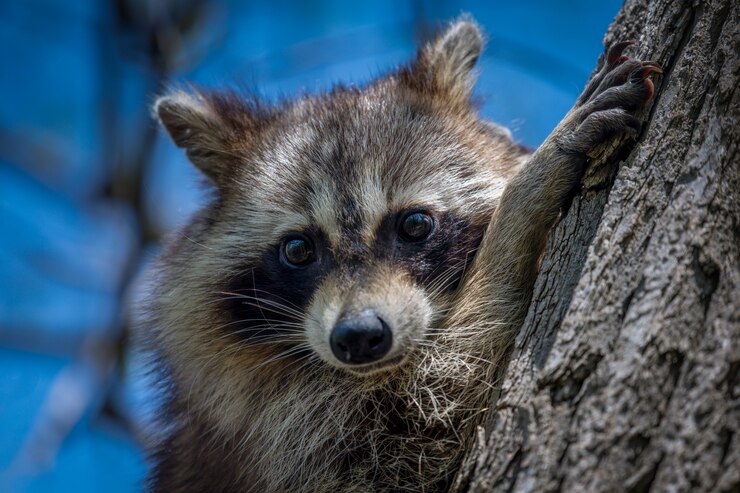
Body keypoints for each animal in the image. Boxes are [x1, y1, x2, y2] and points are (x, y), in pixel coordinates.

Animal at [142, 17, 660, 493]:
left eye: (414, 225)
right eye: (297, 249)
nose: (358, 336)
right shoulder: (287, 438)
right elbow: (431, 413)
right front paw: (525, 199)